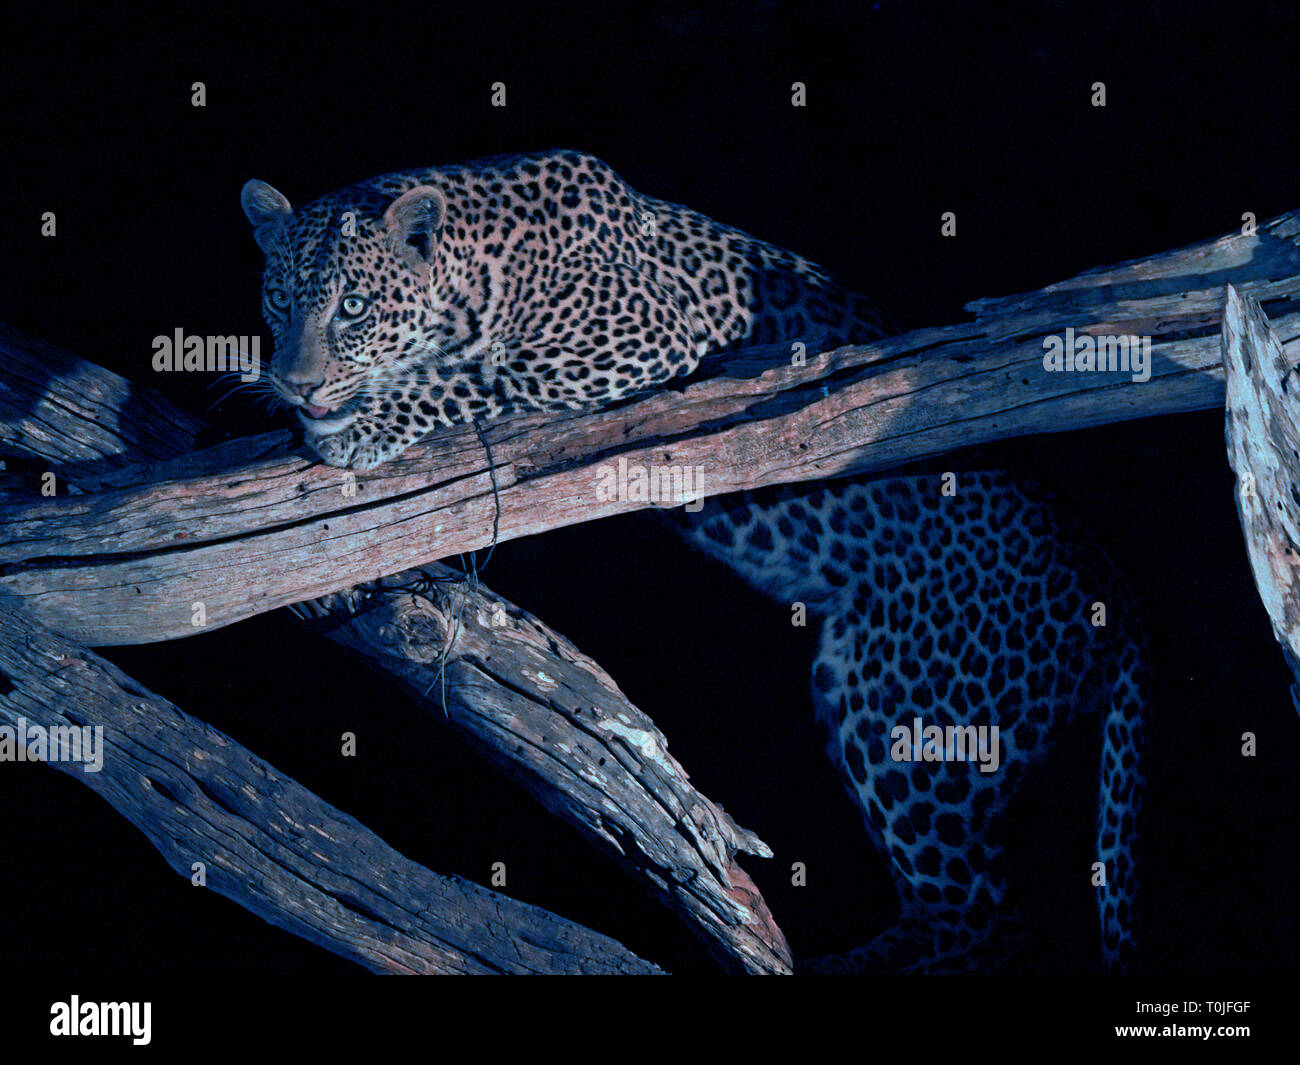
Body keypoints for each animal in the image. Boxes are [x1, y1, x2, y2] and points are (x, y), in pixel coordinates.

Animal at [241, 148, 1147, 973]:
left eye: (354, 306)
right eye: (279, 302)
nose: (293, 384)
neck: (481, 261)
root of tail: (1110, 582)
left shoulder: (640, 337)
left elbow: (478, 373)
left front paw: (364, 418)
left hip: (909, 712)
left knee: (986, 921)